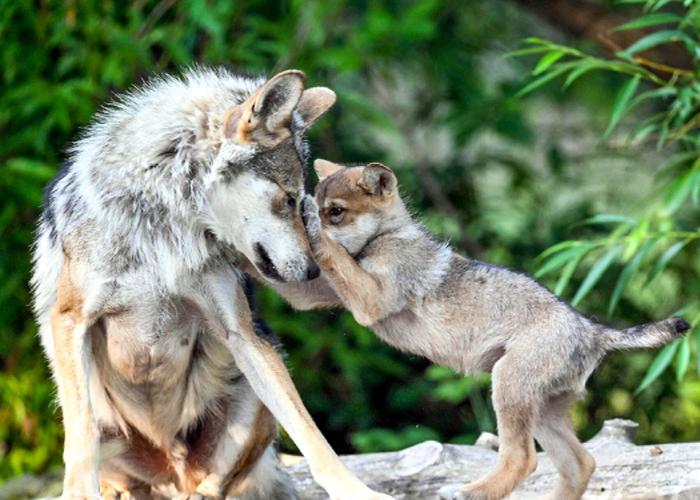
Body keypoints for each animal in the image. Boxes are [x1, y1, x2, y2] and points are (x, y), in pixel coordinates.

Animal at [31, 69, 392, 499]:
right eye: (288, 200)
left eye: (306, 206)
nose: (312, 273)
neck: (165, 229)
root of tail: (172, 473)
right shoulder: (70, 321)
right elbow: (82, 437)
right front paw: (79, 494)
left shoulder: (241, 332)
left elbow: (311, 434)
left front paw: (357, 491)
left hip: (253, 385)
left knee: (216, 483)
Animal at [258, 158, 689, 500]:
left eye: (336, 211)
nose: (297, 226)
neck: (385, 238)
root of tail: (593, 330)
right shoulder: (313, 294)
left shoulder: (369, 301)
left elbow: (331, 252)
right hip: (542, 410)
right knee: (579, 463)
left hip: (509, 387)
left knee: (524, 461)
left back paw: (469, 492)